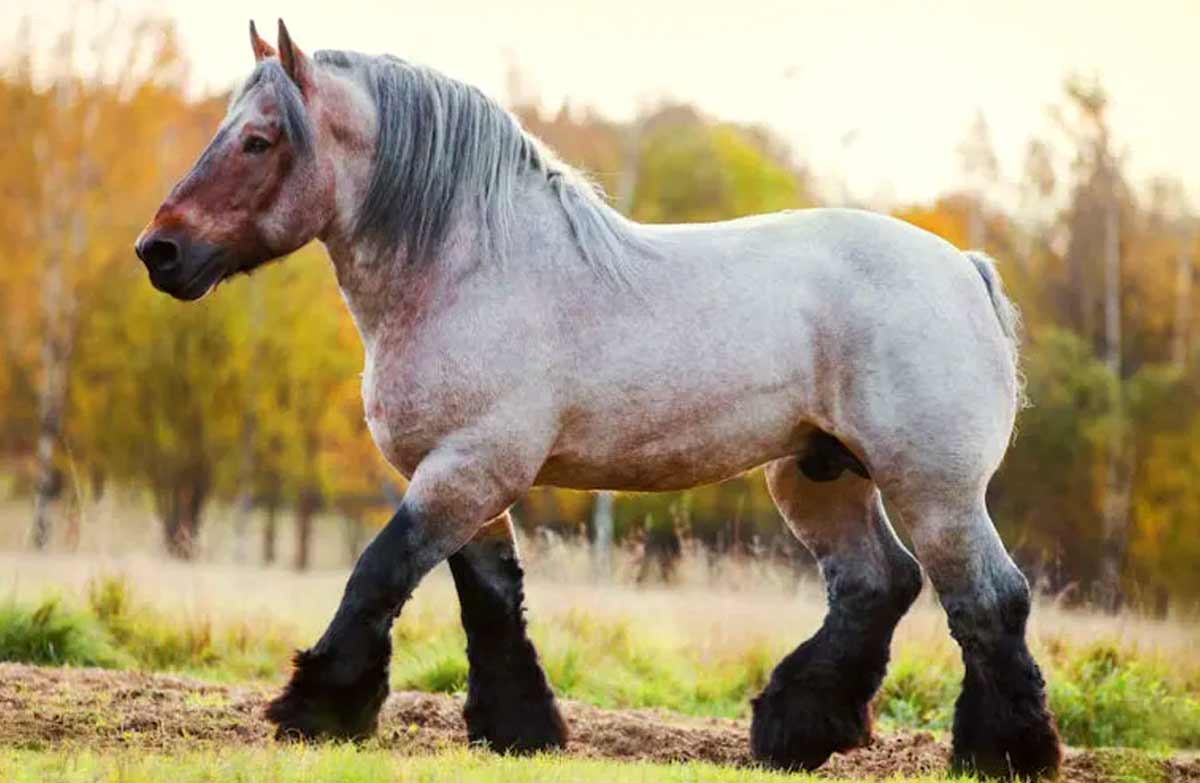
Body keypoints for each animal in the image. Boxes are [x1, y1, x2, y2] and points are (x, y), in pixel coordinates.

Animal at [135, 20, 1061, 780]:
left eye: (258, 140)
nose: (159, 251)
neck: (470, 268)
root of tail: (965, 269)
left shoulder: (468, 468)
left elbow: (379, 572)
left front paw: (315, 709)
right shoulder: (471, 481)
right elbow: (491, 599)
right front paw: (520, 730)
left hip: (934, 490)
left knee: (987, 598)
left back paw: (1002, 754)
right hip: (818, 475)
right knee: (878, 584)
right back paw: (794, 730)